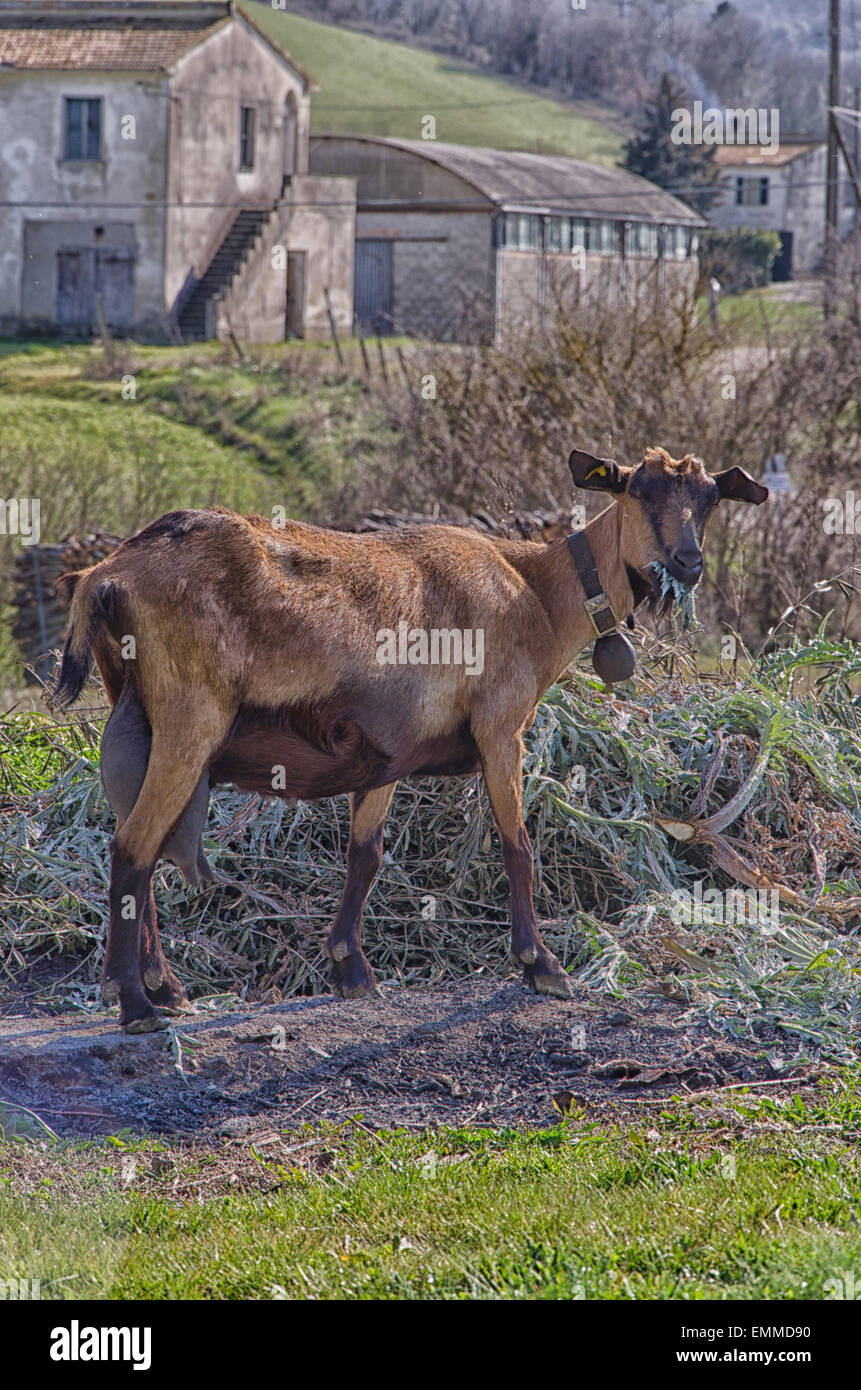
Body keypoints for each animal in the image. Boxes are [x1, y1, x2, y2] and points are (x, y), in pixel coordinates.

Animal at [53, 446, 767, 1032]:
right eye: (637, 490)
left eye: (709, 499)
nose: (686, 563)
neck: (534, 592)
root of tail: (107, 577)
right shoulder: (500, 727)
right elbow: (518, 847)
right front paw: (542, 967)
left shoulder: (386, 756)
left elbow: (365, 856)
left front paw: (350, 970)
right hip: (189, 722)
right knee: (133, 847)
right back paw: (136, 1004)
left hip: (145, 723)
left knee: (145, 846)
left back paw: (166, 989)